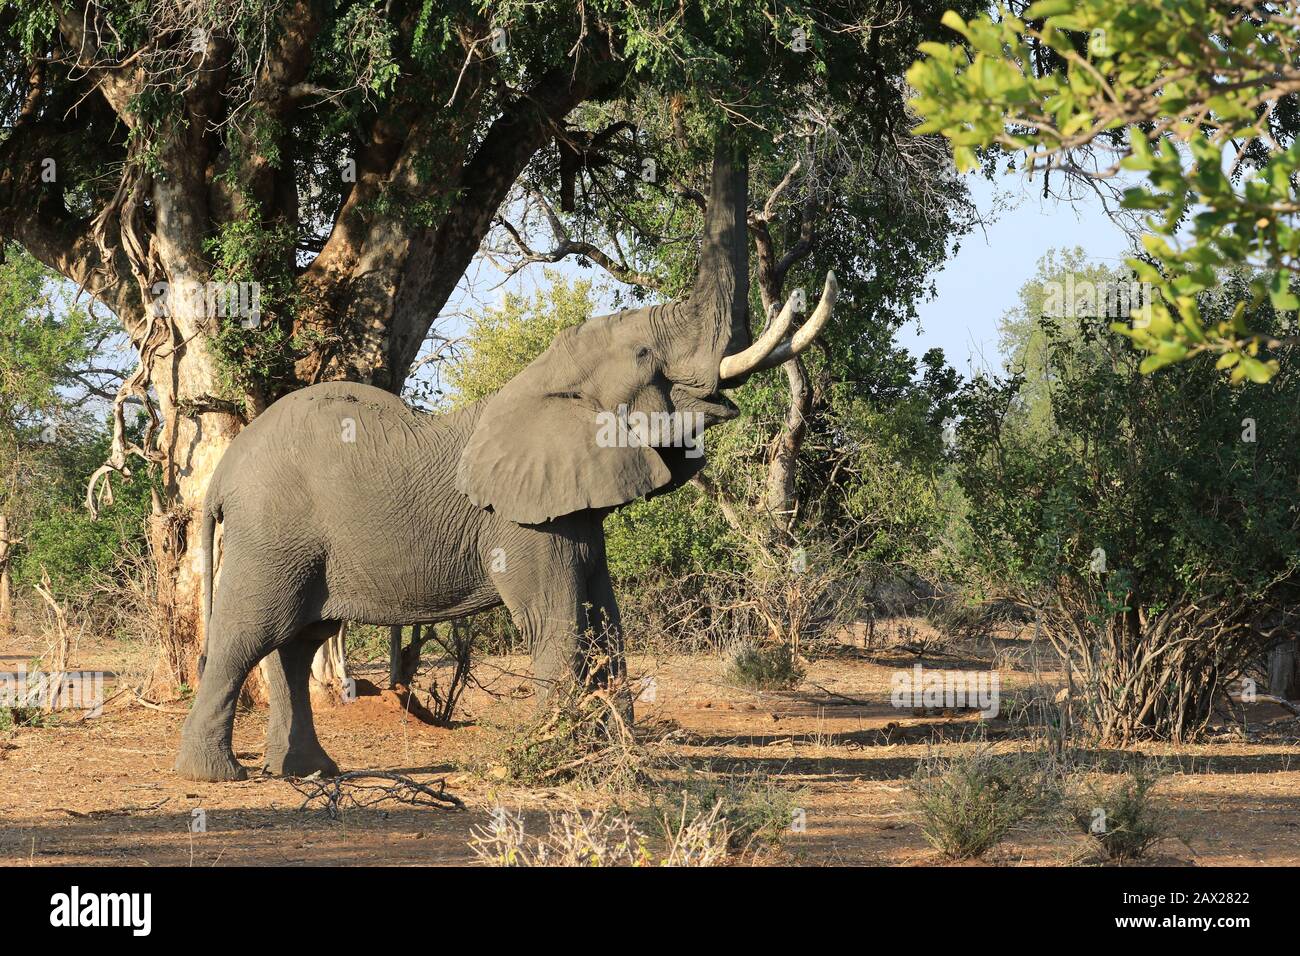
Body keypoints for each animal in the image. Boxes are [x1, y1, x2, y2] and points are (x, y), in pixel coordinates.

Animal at [173, 131, 837, 782]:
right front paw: (555, 762)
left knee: (298, 642)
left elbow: (606, 621)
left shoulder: (572, 509)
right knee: (247, 633)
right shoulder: (522, 524)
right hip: (273, 532)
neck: (541, 381)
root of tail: (224, 473)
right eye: (646, 354)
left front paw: (614, 756)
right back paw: (215, 776)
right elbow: (555, 621)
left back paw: (309, 772)